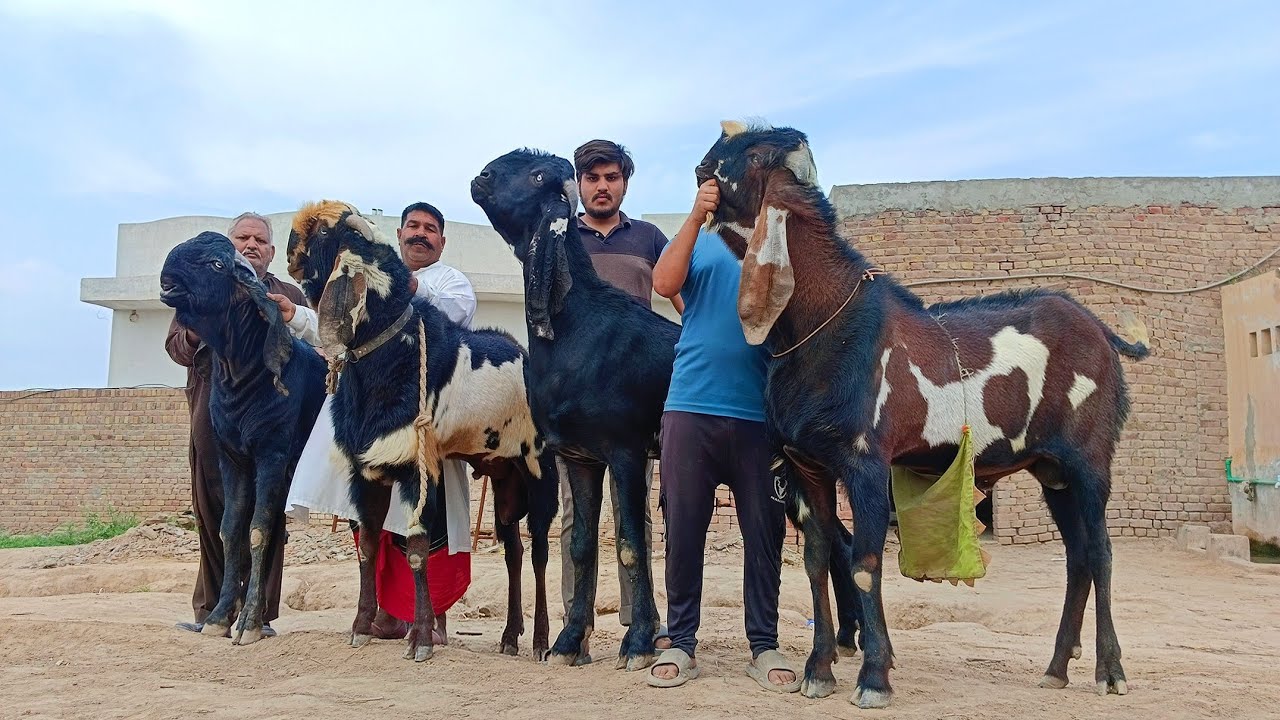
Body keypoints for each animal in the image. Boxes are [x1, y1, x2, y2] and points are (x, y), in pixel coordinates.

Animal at [159, 231, 327, 645]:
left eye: (218, 264)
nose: (170, 268)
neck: (244, 372)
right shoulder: (232, 459)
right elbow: (231, 530)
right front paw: (219, 617)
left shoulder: (271, 455)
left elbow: (257, 532)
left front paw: (248, 622)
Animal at [286, 200, 557, 662]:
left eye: (324, 232)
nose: (288, 247)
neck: (393, 355)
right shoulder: (366, 471)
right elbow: (368, 547)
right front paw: (361, 628)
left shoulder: (417, 469)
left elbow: (415, 551)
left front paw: (423, 639)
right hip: (504, 482)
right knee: (514, 550)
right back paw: (508, 636)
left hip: (540, 471)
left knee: (539, 549)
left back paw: (540, 640)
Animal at [471, 150, 681, 671]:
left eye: (536, 175)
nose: (481, 176)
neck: (578, 327)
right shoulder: (577, 457)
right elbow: (582, 546)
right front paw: (567, 642)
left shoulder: (626, 452)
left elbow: (631, 545)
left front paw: (639, 642)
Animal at [696, 122, 1150, 707]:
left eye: (752, 155)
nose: (702, 166)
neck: (824, 322)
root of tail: (1102, 332)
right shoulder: (808, 465)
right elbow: (818, 562)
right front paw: (818, 671)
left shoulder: (865, 463)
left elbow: (864, 566)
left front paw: (873, 678)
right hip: (1052, 471)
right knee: (1077, 557)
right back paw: (1055, 668)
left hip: (1090, 460)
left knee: (1101, 552)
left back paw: (1110, 671)